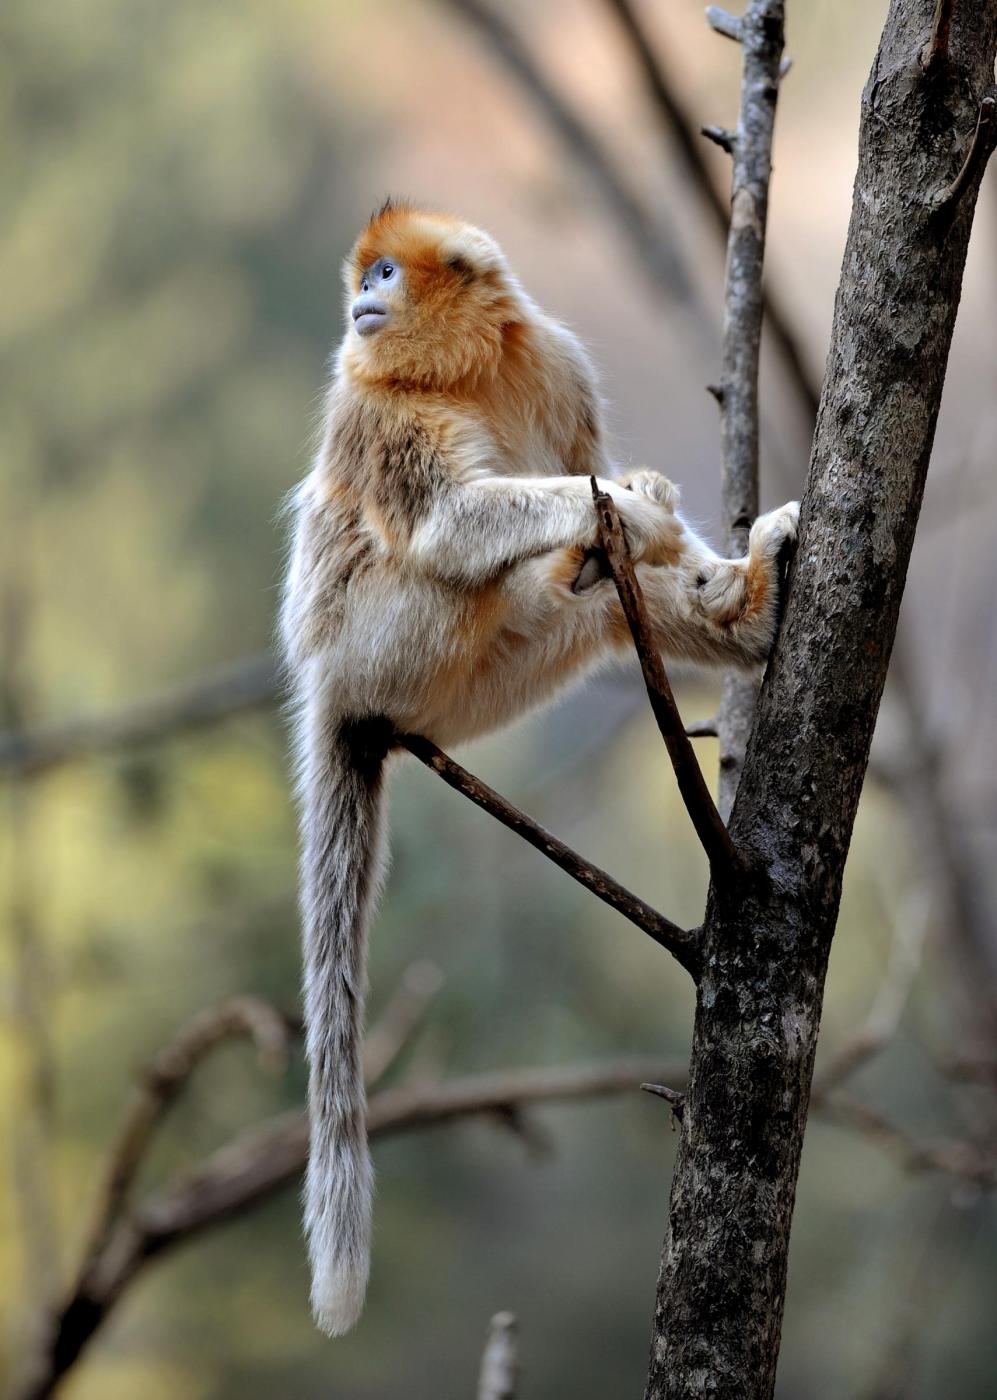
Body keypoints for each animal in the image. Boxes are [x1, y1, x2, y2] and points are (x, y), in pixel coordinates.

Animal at [280, 200, 799, 1336]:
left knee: (599, 606)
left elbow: (601, 477)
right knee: (455, 566)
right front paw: (635, 507)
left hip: (491, 679)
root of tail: (336, 691)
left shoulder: (556, 361)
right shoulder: (373, 404)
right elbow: (444, 523)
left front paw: (682, 552)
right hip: (386, 647)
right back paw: (605, 551)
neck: (465, 368)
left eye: (383, 272)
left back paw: (723, 603)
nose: (356, 304)